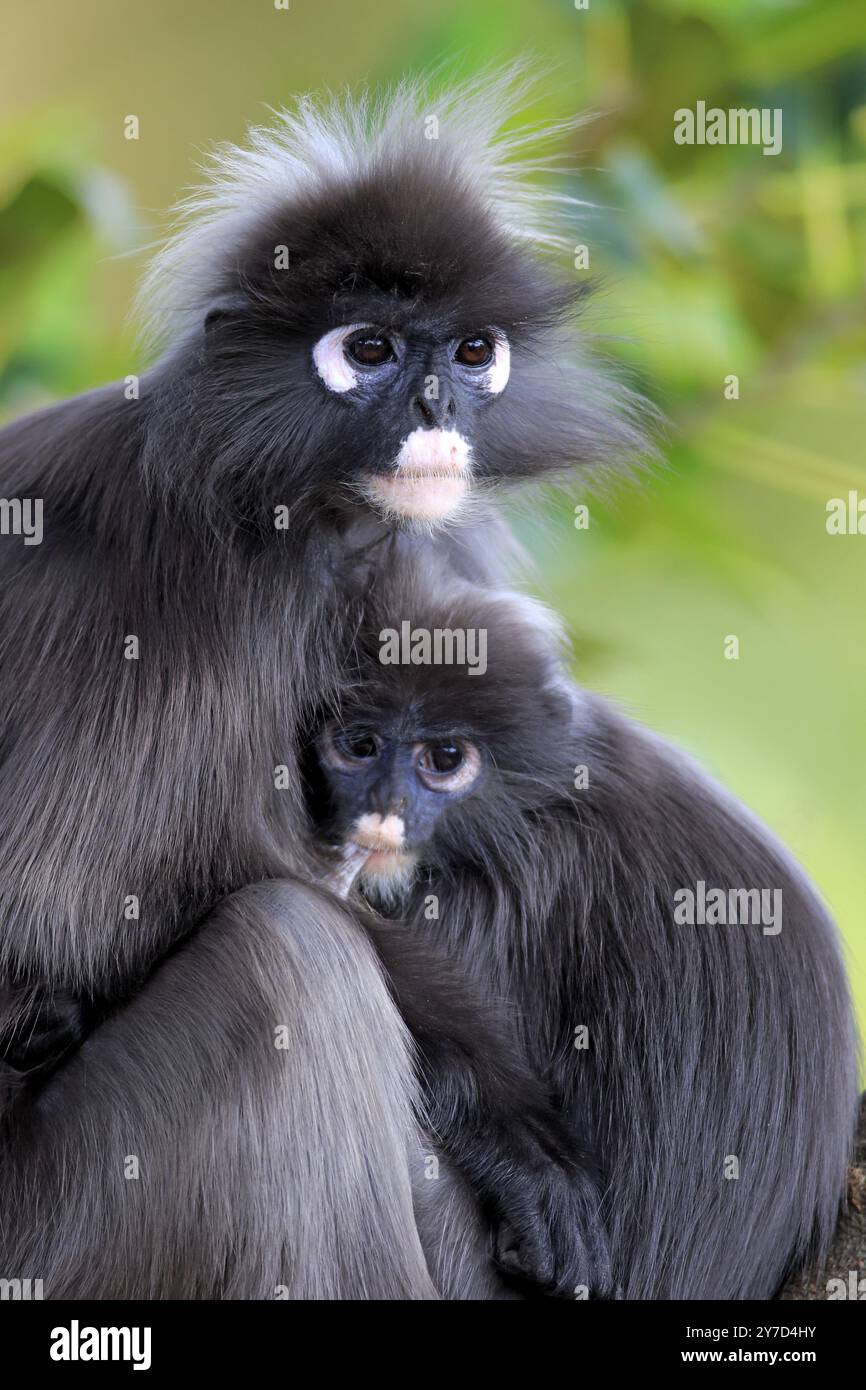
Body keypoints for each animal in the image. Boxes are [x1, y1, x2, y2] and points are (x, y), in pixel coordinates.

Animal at [0, 73, 649, 1297]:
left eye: (473, 348)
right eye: (371, 347)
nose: (438, 403)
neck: (312, 518)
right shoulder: (191, 594)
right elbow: (62, 905)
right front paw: (509, 1123)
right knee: (286, 958)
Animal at [301, 560, 860, 1300]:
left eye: (444, 757)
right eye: (359, 746)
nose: (384, 808)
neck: (545, 797)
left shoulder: (508, 890)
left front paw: (522, 1159)